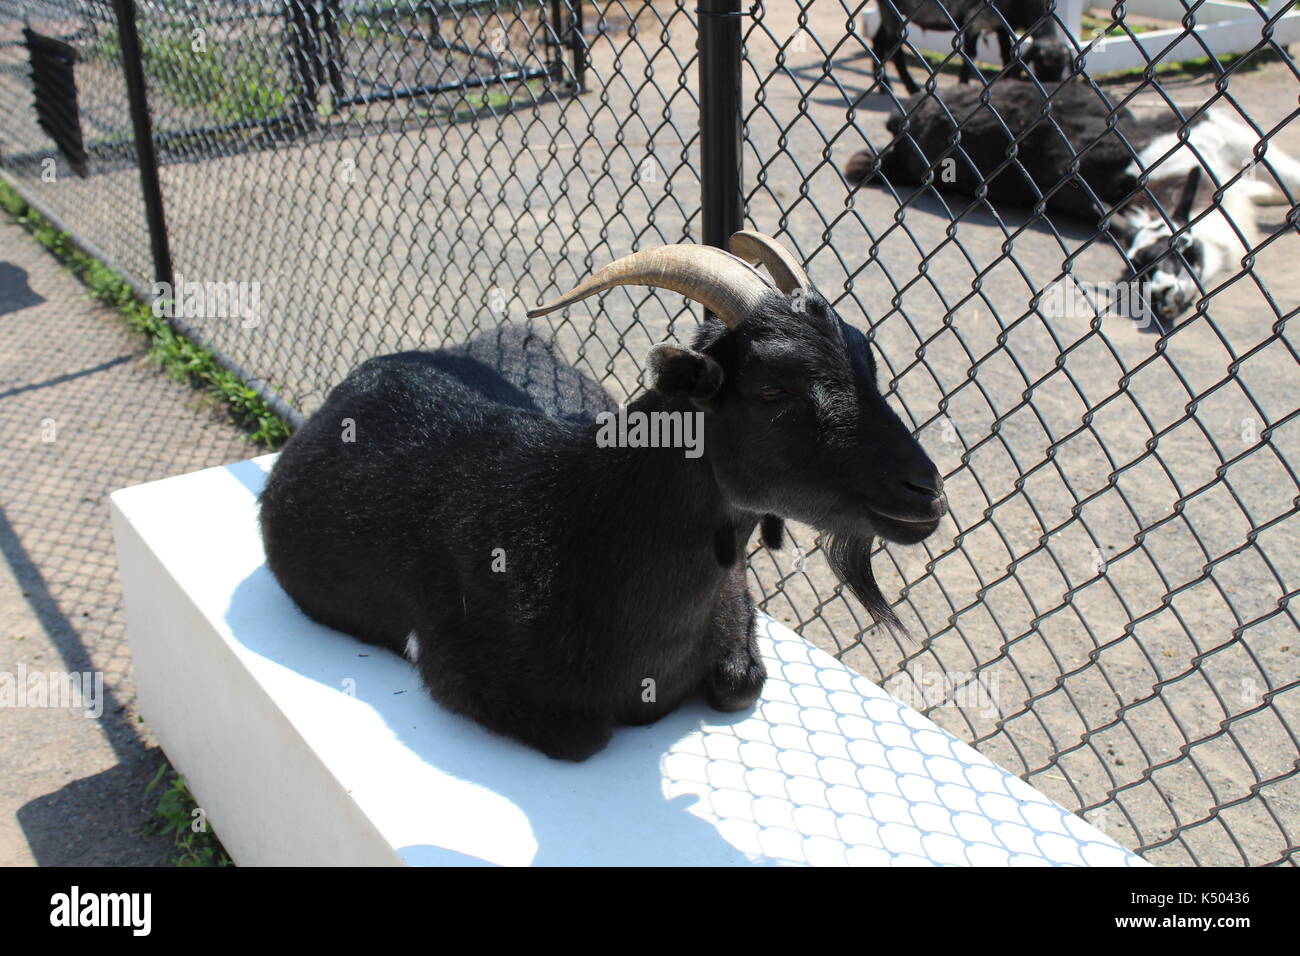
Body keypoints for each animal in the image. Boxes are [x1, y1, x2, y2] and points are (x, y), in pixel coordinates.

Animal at [259, 233, 949, 761]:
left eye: (869, 364)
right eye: (773, 390)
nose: (927, 490)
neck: (578, 524)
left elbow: (741, 683)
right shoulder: (455, 668)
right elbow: (585, 738)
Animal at [872, 0, 1068, 95]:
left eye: (1062, 69)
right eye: (1040, 64)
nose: (1051, 86)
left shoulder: (1001, 26)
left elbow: (1007, 56)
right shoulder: (975, 19)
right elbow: (971, 54)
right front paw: (964, 84)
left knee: (879, 41)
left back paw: (884, 84)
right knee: (892, 47)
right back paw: (909, 86)